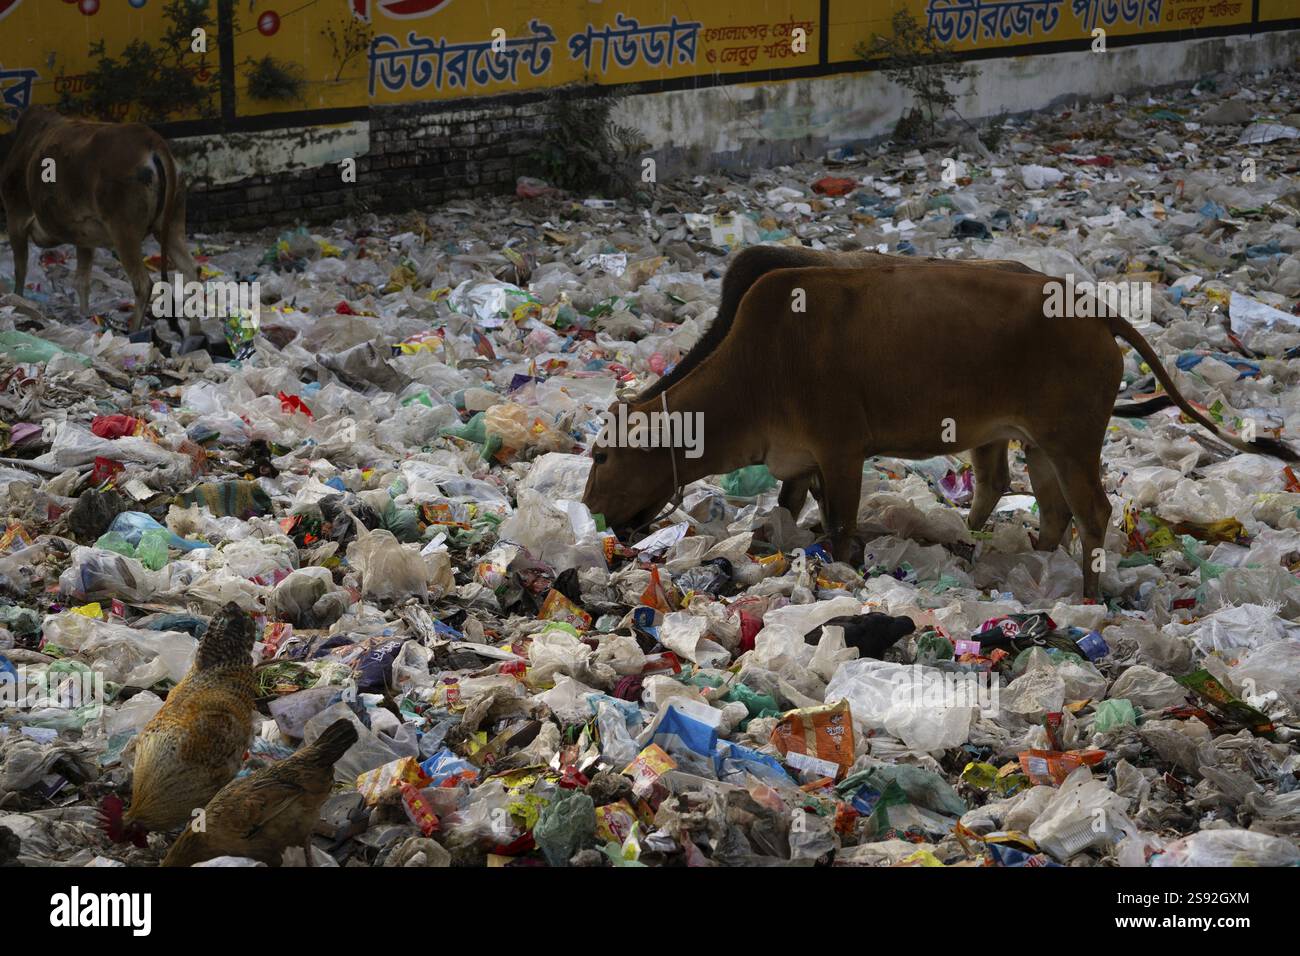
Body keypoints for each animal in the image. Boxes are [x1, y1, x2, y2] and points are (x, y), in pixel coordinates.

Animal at [1, 105, 198, 333]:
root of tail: (153, 141)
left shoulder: (16, 218)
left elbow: (20, 270)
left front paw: (17, 301)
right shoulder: (83, 237)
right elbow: (81, 281)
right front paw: (85, 316)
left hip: (124, 231)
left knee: (143, 284)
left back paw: (134, 330)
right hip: (172, 224)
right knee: (192, 273)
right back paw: (196, 331)